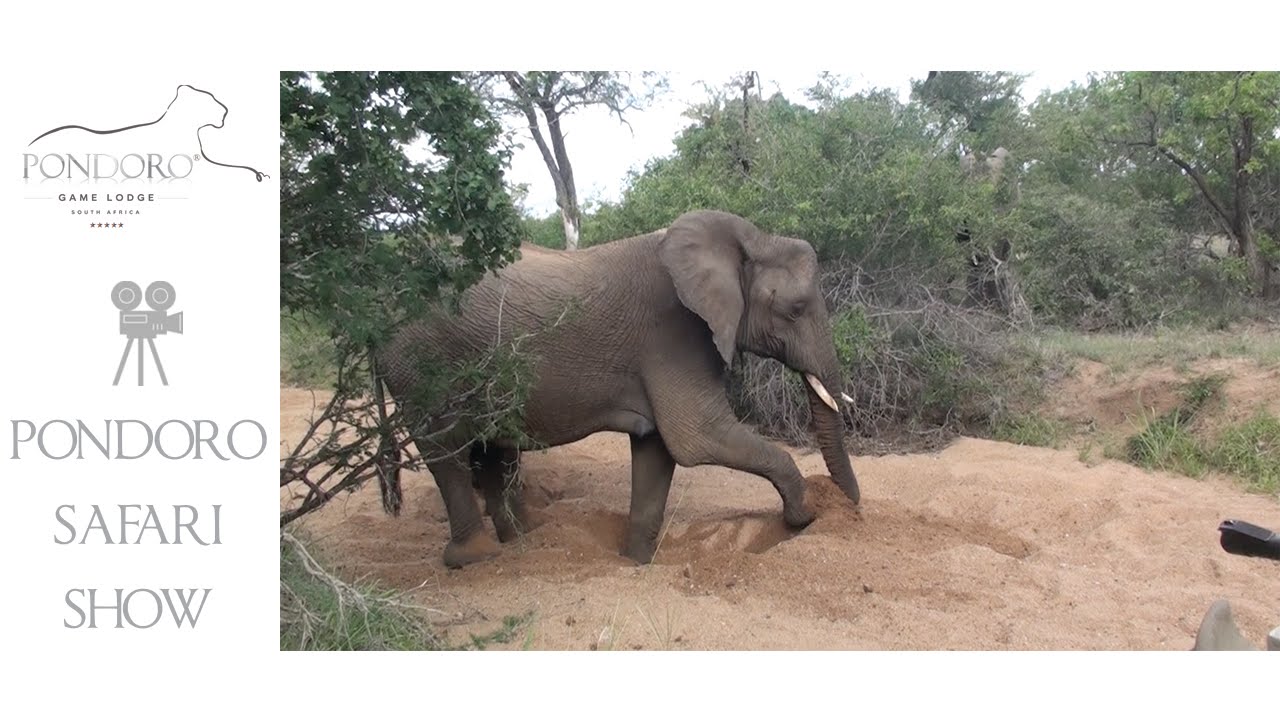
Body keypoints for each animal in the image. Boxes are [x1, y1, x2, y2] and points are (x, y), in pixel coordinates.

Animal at [376, 209, 862, 568]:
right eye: (795, 309)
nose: (847, 510)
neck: (747, 239)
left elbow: (657, 450)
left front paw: (636, 562)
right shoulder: (674, 334)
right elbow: (698, 438)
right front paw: (804, 513)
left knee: (492, 450)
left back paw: (523, 540)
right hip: (421, 367)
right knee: (446, 452)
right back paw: (476, 558)